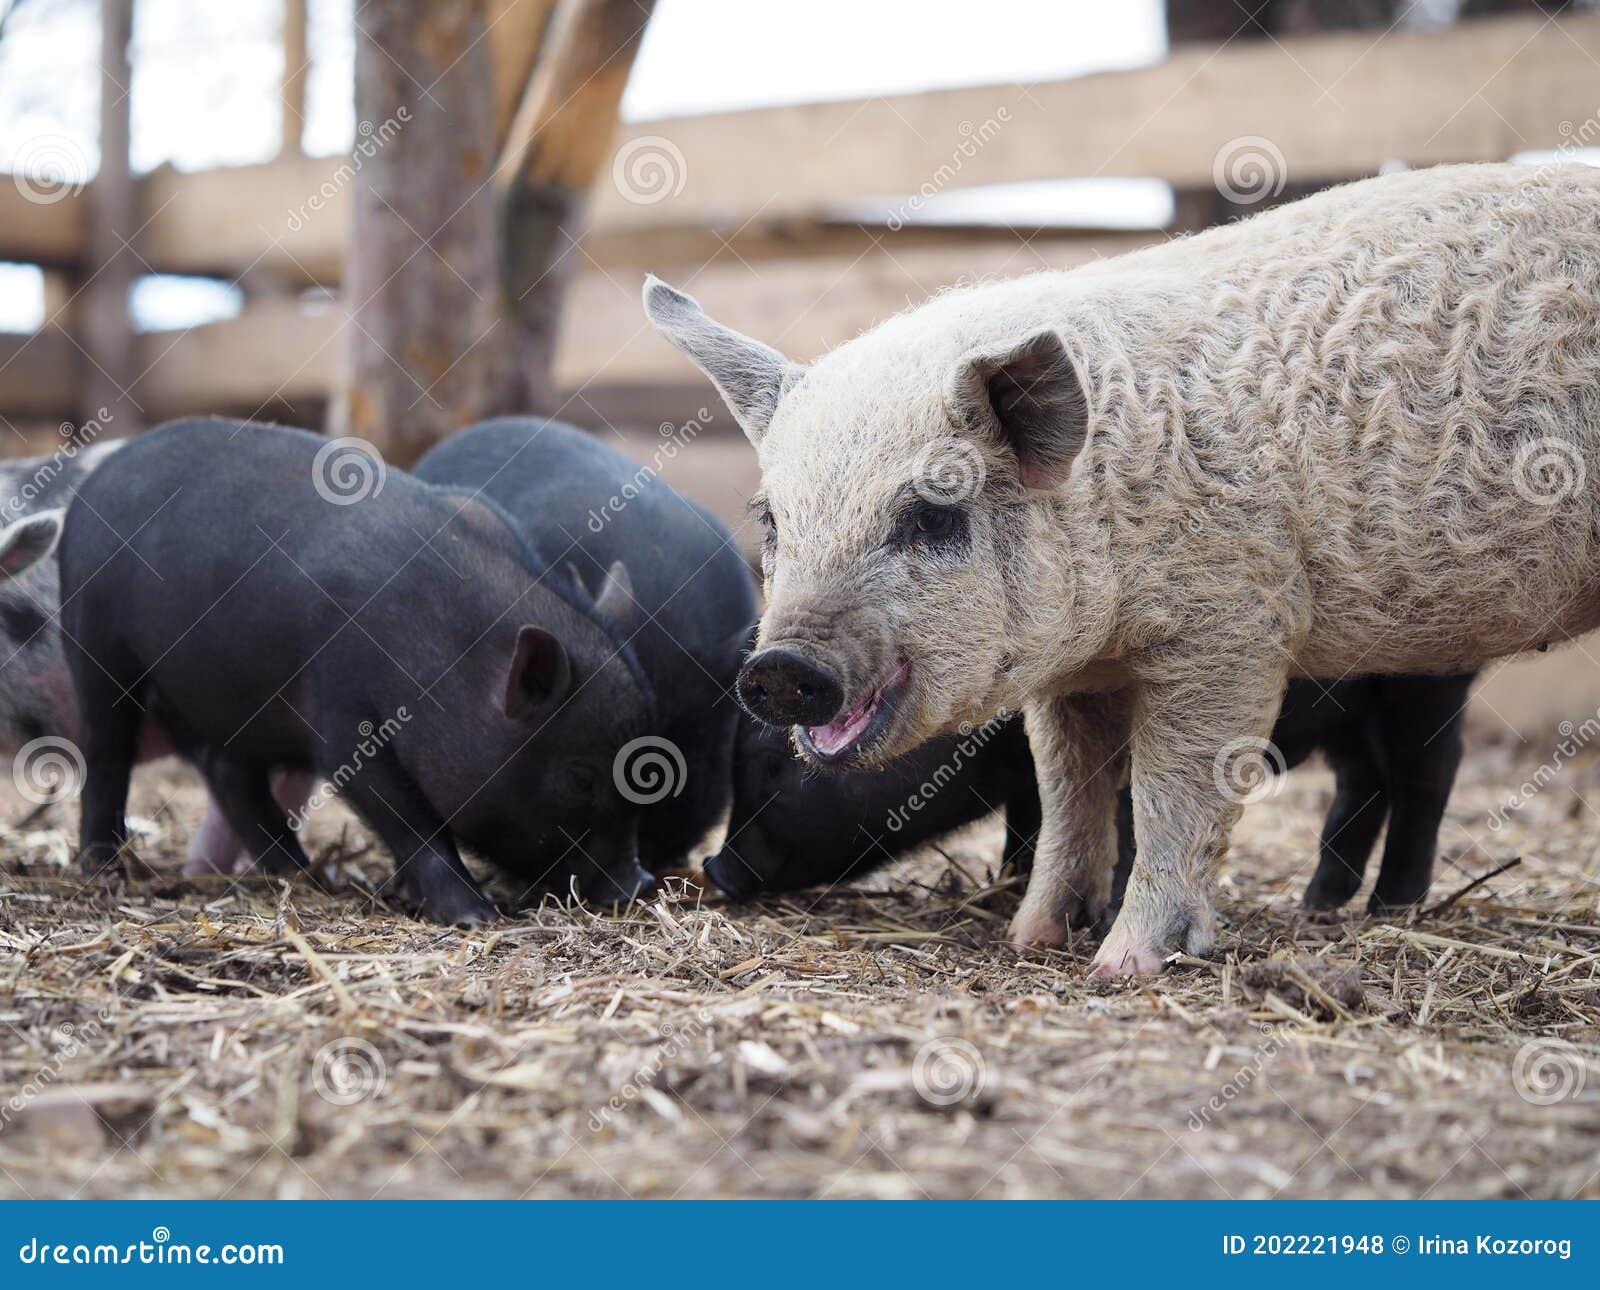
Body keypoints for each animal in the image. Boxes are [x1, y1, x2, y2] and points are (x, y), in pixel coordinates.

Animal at [58, 417, 656, 923]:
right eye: (579, 776)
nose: (638, 885)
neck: (449, 661)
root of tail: (91, 488)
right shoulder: (345, 712)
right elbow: (410, 821)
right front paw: (476, 918)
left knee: (230, 775)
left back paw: (303, 875)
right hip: (94, 644)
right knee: (106, 753)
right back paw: (105, 870)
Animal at [643, 162, 1600, 974]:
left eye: (931, 515)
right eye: (773, 520)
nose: (778, 666)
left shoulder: (1234, 630)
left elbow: (1171, 796)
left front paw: (1123, 965)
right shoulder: (1073, 678)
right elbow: (1071, 794)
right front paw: (1031, 939)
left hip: (1426, 679)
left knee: (1425, 778)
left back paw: (1387, 915)